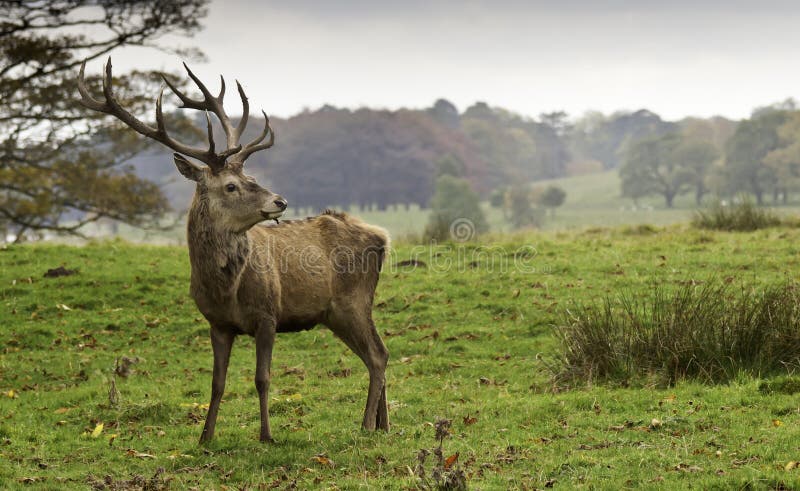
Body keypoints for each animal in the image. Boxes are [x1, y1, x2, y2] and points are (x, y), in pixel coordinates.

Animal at [77, 58, 390, 443]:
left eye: (250, 178)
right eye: (231, 185)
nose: (280, 201)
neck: (226, 290)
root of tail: (382, 237)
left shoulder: (268, 315)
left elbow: (262, 378)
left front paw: (267, 435)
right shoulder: (217, 323)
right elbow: (217, 383)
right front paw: (205, 437)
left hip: (353, 301)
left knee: (377, 356)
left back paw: (366, 426)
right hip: (336, 313)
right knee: (379, 353)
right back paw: (384, 424)